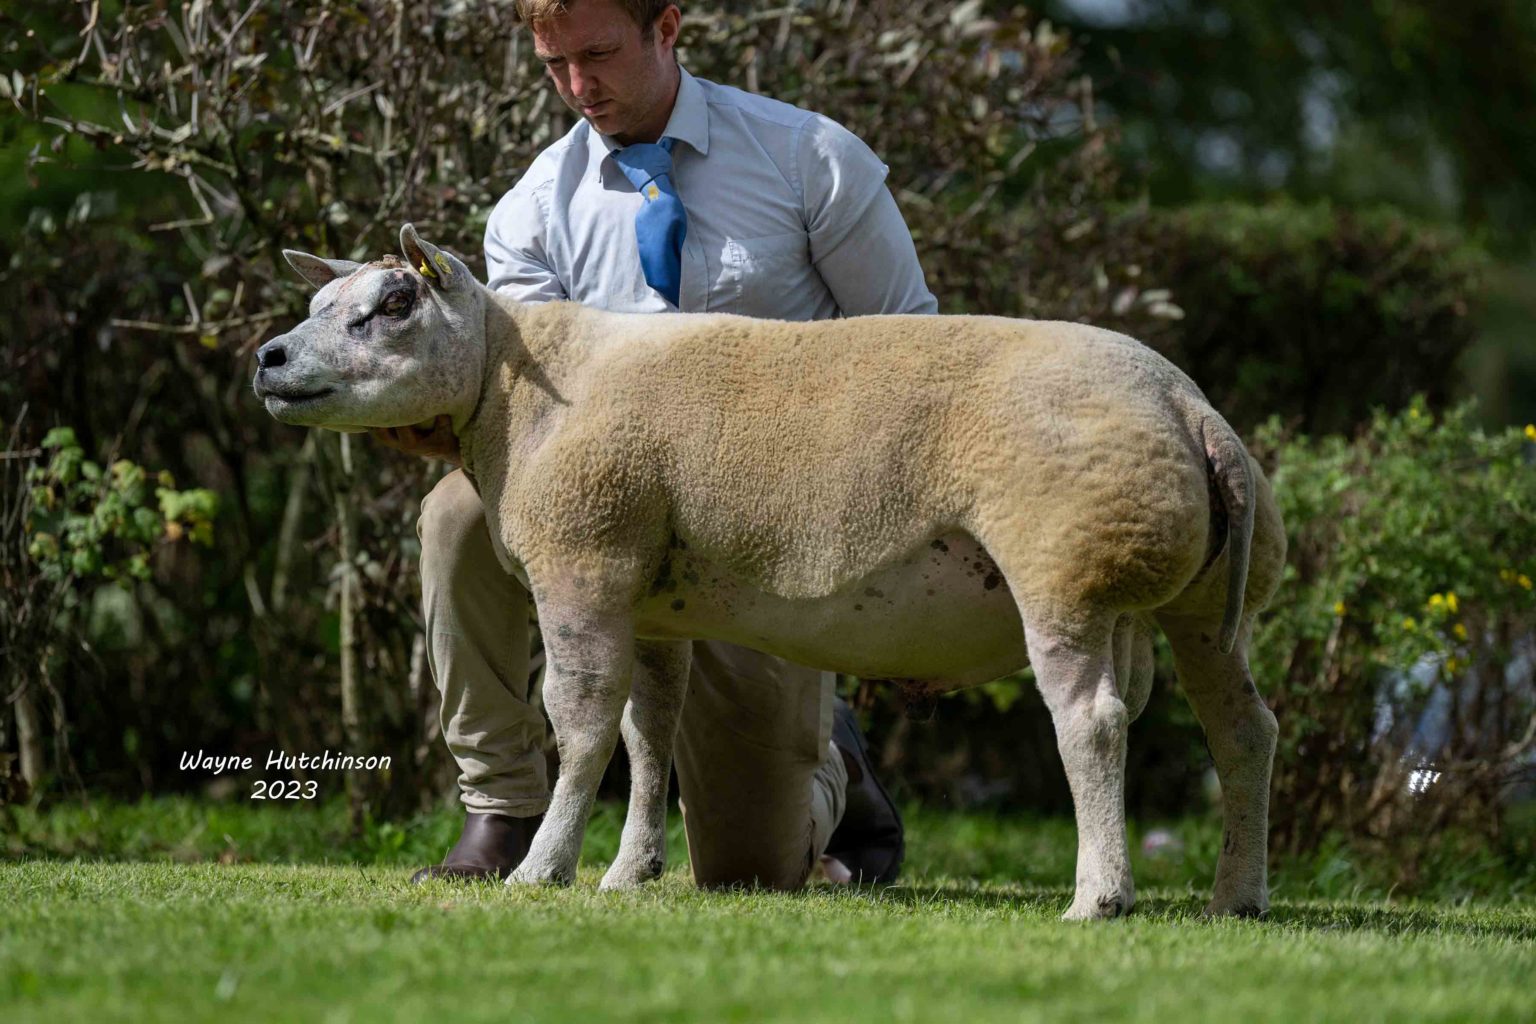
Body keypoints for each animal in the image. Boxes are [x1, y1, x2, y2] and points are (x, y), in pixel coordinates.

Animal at [254, 225, 1287, 920]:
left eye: (394, 306)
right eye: (317, 307)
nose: (267, 359)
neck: (518, 383)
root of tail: (1189, 407)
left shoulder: (584, 564)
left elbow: (581, 731)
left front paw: (544, 870)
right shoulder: (651, 605)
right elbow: (648, 742)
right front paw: (630, 873)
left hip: (1065, 569)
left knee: (1096, 724)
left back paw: (1098, 897)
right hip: (1201, 604)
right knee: (1245, 731)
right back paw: (1236, 896)